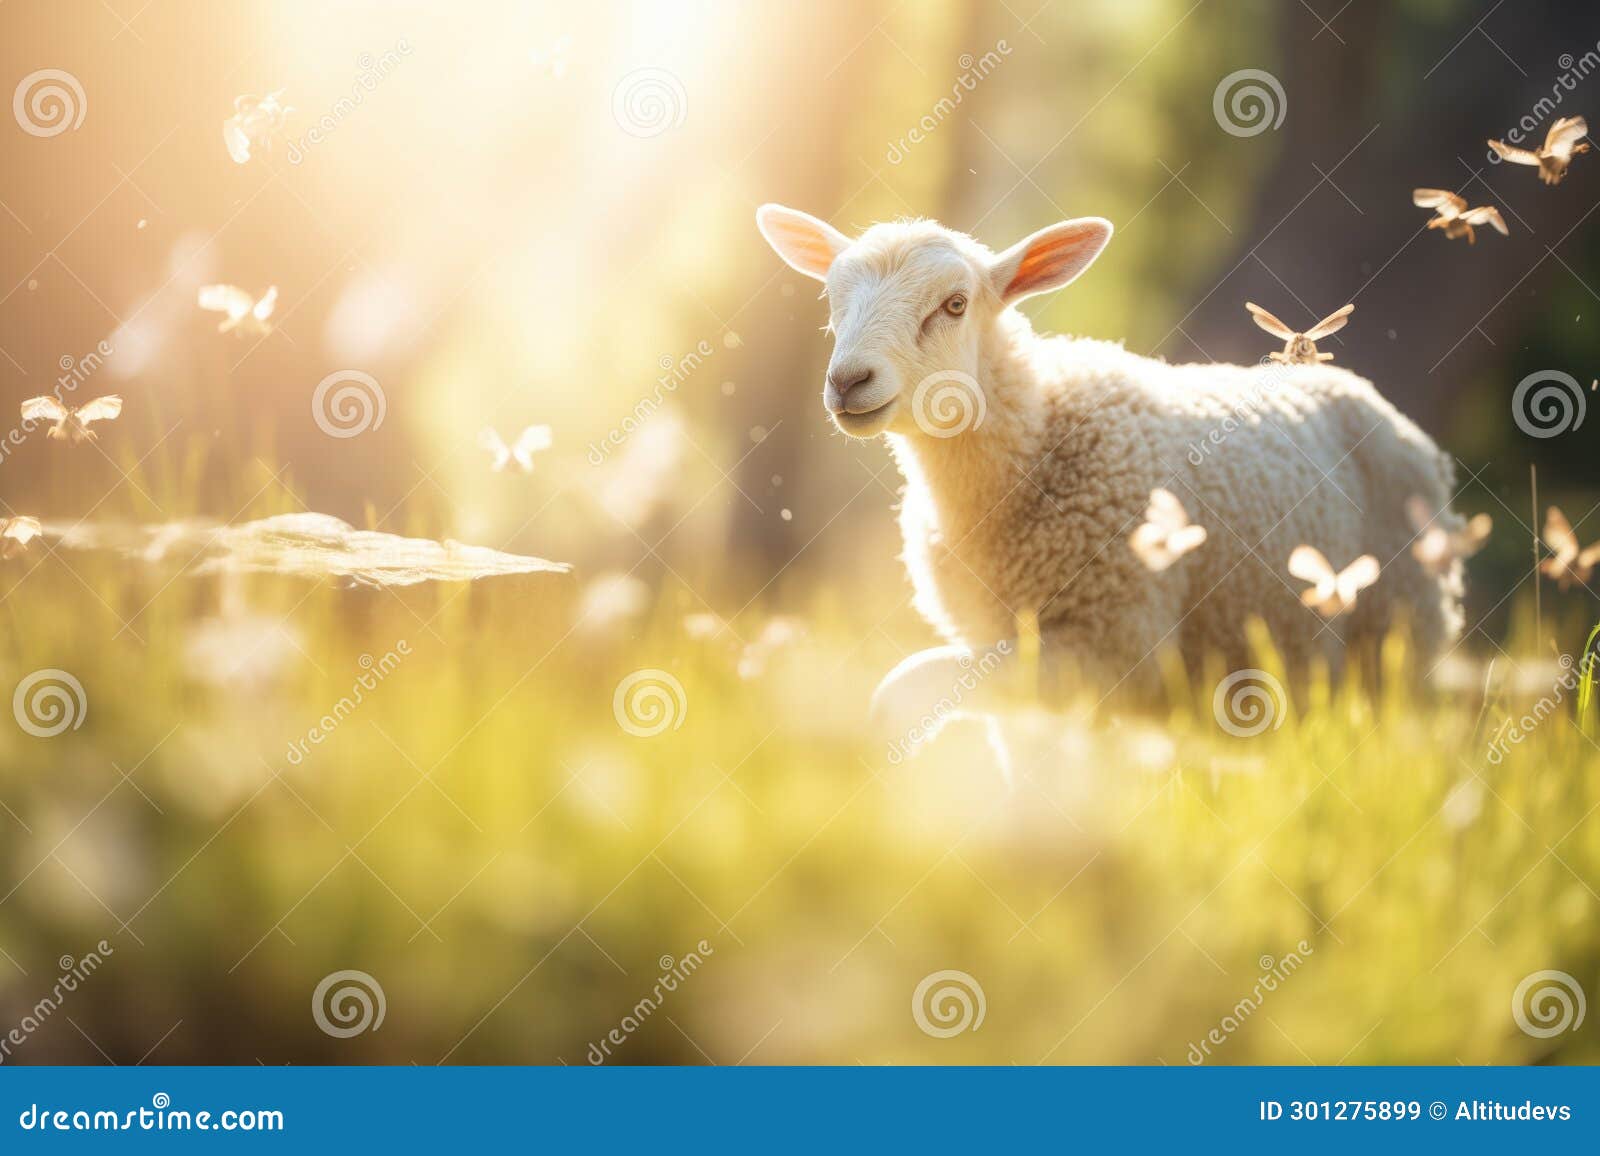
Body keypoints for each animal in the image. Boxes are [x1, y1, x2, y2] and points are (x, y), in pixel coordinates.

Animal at [755, 204, 1467, 714]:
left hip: (1399, 640)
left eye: (954, 305)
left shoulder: (1114, 645)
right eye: (831, 303)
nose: (848, 381)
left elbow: (898, 691)